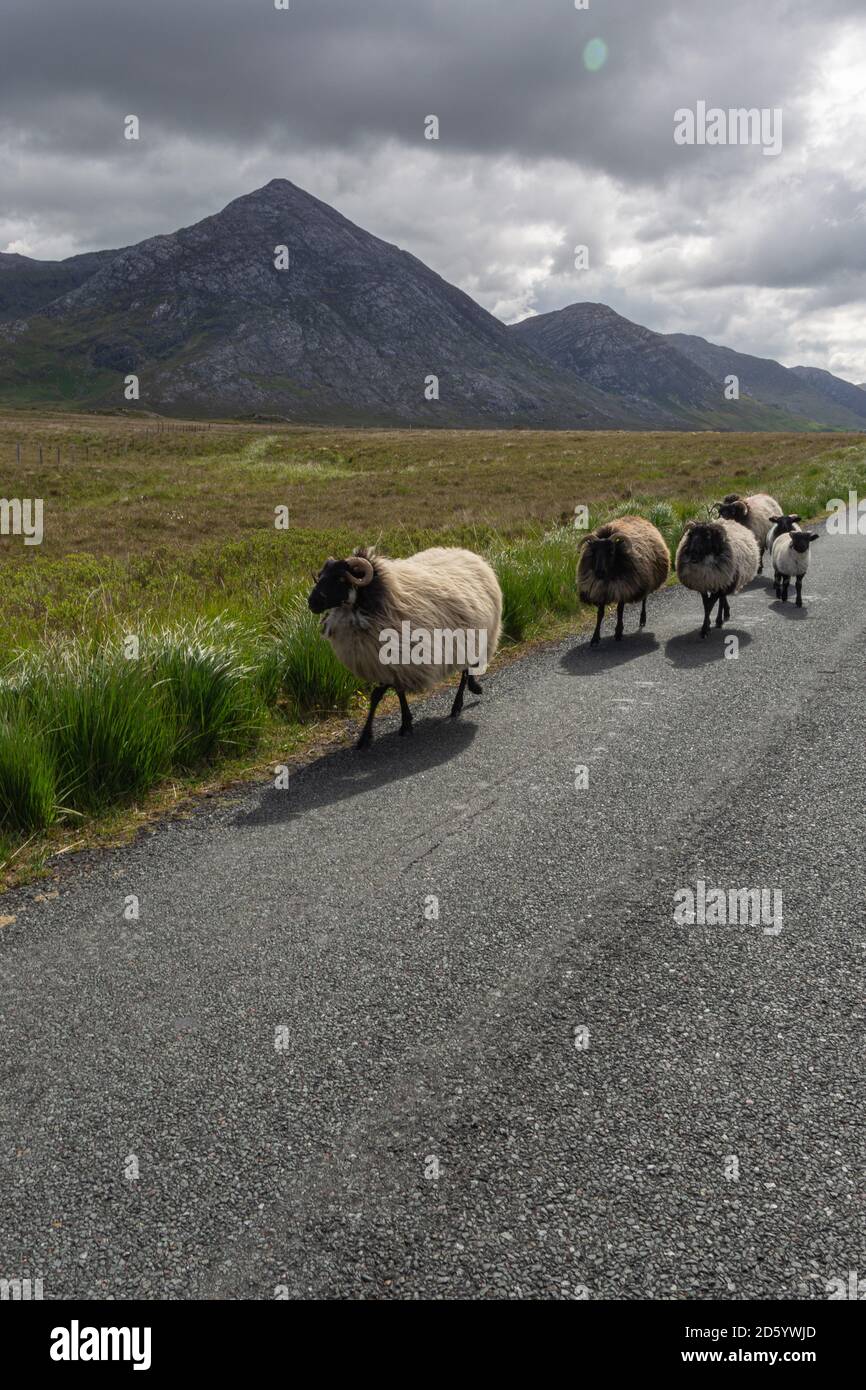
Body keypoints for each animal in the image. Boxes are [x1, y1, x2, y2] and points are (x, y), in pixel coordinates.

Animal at [307, 545, 502, 748]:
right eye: (321, 576)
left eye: (340, 579)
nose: (311, 602)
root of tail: (469, 554)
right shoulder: (392, 665)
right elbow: (392, 694)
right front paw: (405, 722)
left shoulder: (402, 660)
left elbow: (376, 694)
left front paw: (366, 736)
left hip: (477, 637)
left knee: (465, 672)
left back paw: (459, 703)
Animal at [577, 515, 670, 645]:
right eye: (594, 551)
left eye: (611, 551)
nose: (599, 572)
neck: (609, 576)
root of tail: (639, 517)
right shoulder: (600, 589)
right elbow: (600, 614)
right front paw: (595, 638)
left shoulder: (623, 586)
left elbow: (619, 610)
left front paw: (618, 631)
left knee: (644, 599)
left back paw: (642, 619)